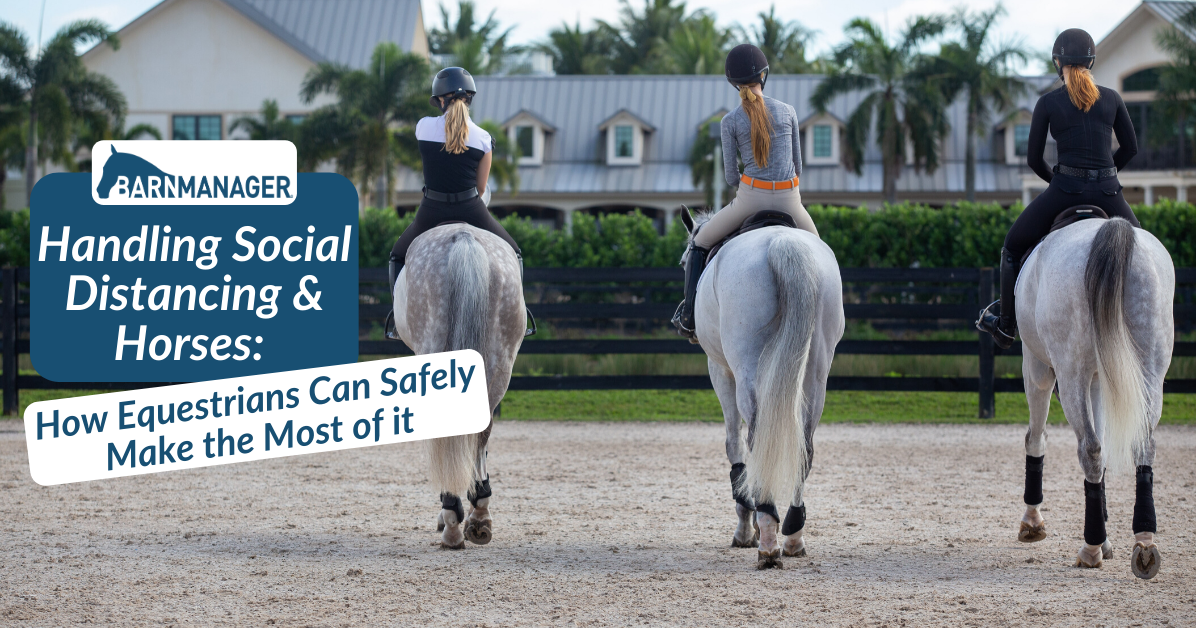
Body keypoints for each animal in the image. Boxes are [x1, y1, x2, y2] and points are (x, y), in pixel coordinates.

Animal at [679, 209, 844, 569]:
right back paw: (793, 535)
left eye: (685, 262)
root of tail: (783, 243)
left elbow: (733, 444)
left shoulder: (720, 370)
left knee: (754, 439)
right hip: (816, 373)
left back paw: (767, 537)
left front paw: (745, 527)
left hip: (746, 371)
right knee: (804, 448)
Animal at [1015, 215, 1174, 579]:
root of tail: (1112, 229)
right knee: (1142, 444)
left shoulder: (1037, 366)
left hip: (1069, 373)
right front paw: (1107, 540)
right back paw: (1144, 541)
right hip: (1150, 371)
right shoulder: (1101, 379)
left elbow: (1036, 438)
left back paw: (1089, 548)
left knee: (1089, 448)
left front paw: (1033, 521)